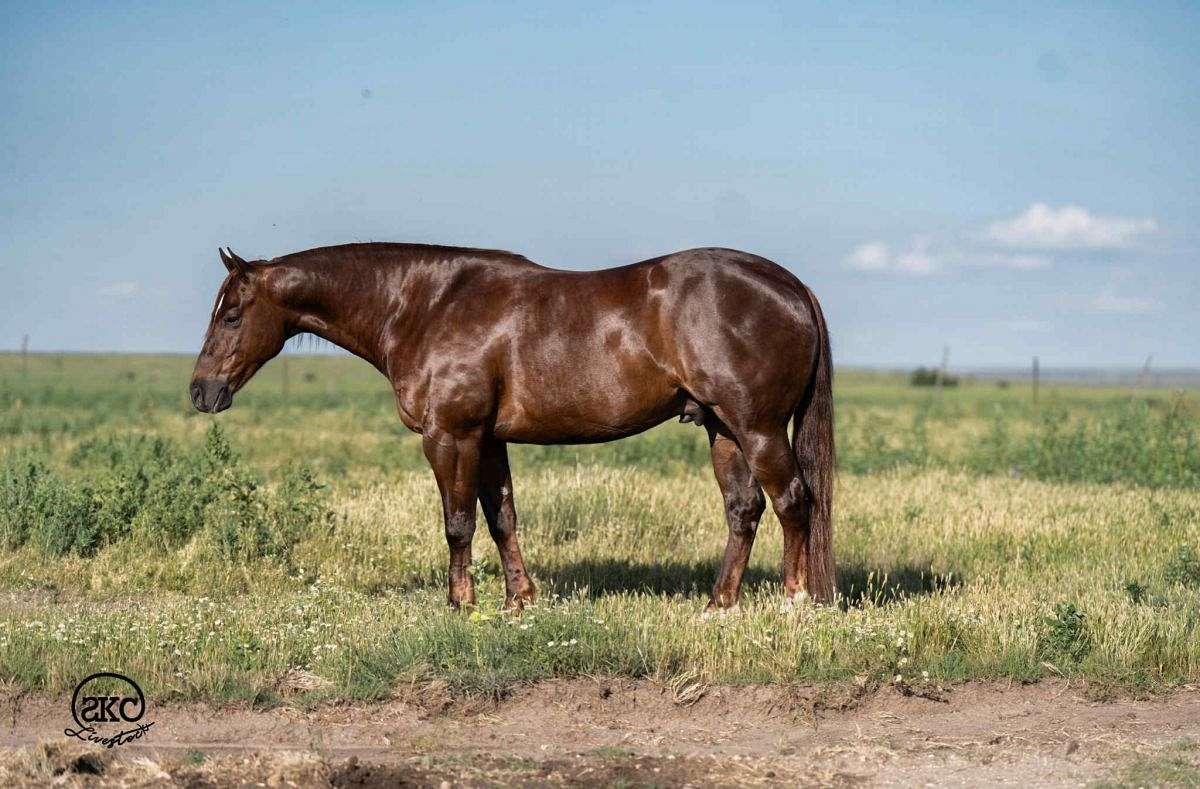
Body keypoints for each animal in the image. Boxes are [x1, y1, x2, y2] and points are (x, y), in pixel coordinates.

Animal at [190, 243, 835, 612]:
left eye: (231, 315)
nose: (201, 391)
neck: (426, 304)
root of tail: (790, 285)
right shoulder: (489, 440)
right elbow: (502, 518)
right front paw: (517, 601)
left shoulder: (451, 436)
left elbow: (457, 523)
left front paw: (461, 605)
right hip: (723, 429)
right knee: (744, 510)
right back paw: (719, 605)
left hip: (757, 427)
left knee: (793, 501)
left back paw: (794, 603)